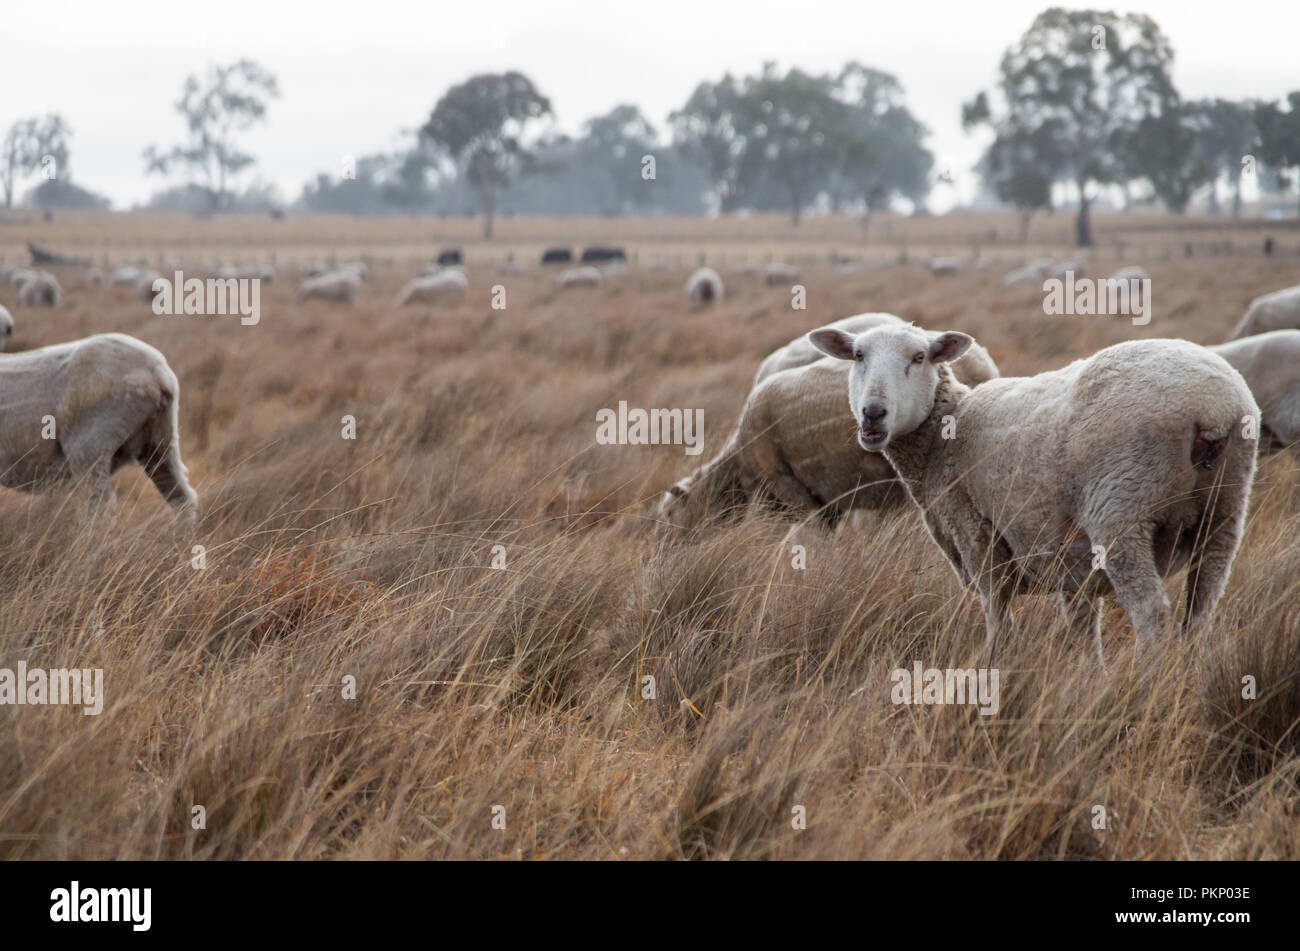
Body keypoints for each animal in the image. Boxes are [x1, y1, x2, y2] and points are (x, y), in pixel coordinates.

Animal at [808, 323, 1258, 661]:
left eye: (919, 358)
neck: (943, 437)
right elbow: (1083, 633)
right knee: (1199, 613)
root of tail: (1214, 408)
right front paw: (1090, 680)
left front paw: (996, 666)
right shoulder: (1072, 564)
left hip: (1122, 508)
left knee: (1152, 614)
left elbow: (998, 618)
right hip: (1225, 513)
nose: (873, 413)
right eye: (858, 355)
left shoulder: (976, 533)